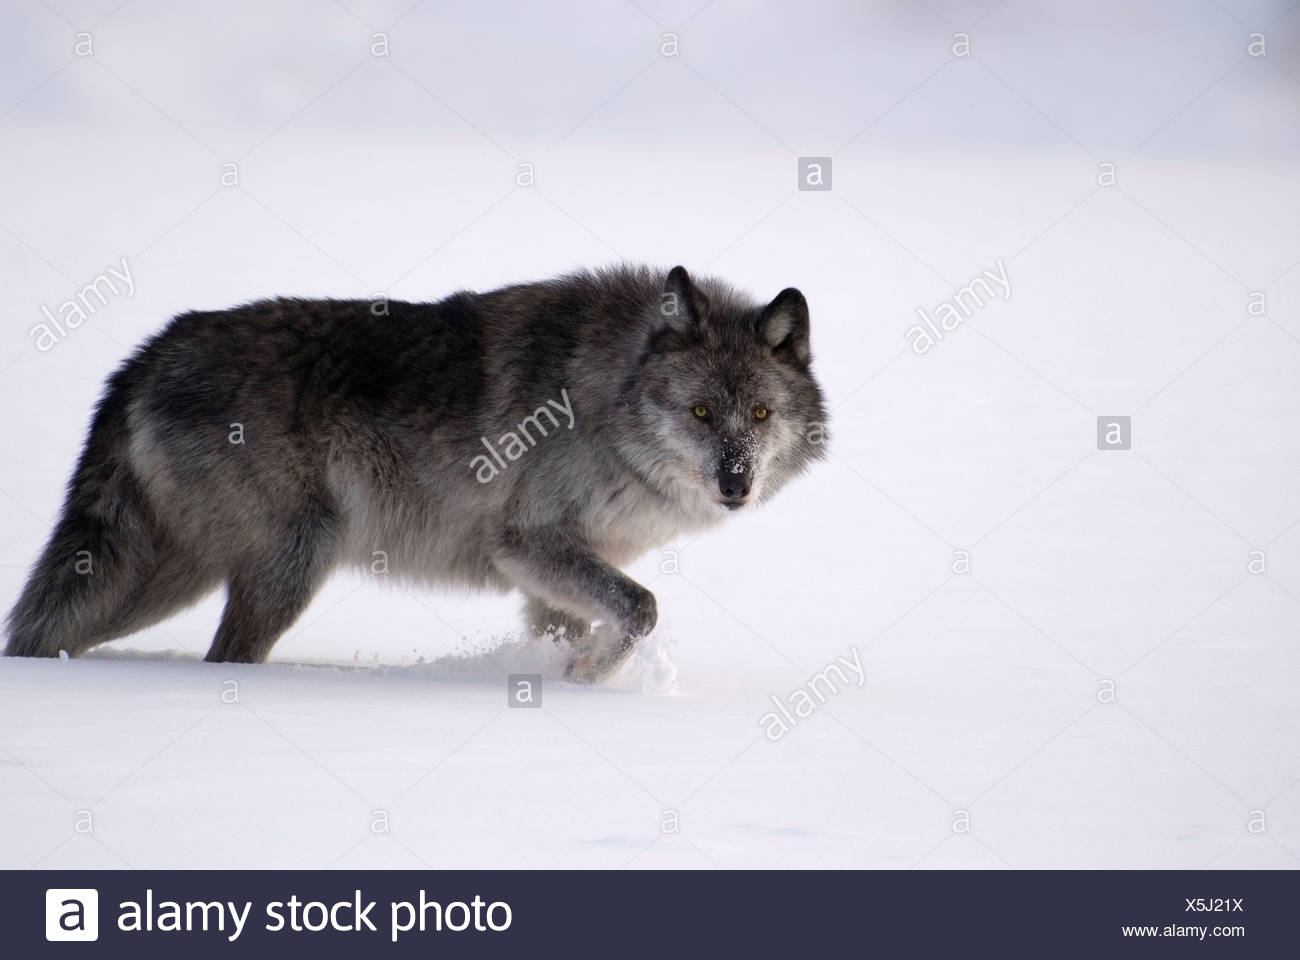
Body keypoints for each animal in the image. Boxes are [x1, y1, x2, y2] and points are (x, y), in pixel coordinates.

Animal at [5, 265, 827, 682]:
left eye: (759, 415)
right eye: (699, 412)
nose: (735, 484)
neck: (608, 393)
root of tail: (148, 354)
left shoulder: (556, 573)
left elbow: (598, 617)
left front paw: (570, 677)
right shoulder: (525, 542)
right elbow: (642, 607)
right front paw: (591, 676)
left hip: (164, 575)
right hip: (286, 563)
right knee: (220, 658)